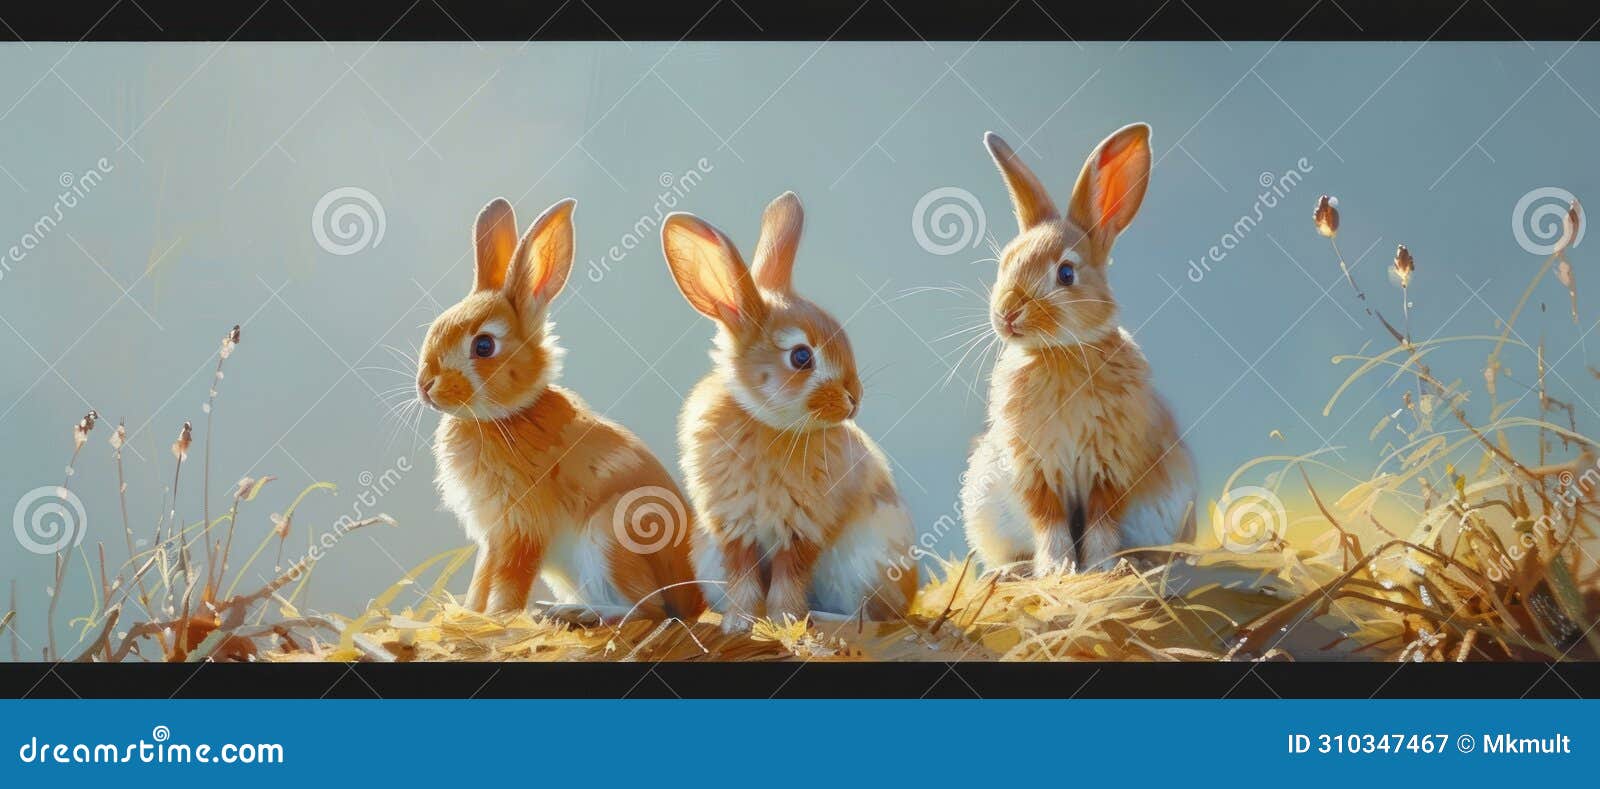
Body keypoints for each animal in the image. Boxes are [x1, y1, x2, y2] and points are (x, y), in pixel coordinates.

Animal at [419, 196, 706, 621]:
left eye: (484, 346)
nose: (425, 386)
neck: (506, 417)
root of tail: (695, 602)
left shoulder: (522, 529)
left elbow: (509, 581)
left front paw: (501, 619)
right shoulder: (493, 535)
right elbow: (483, 576)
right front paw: (473, 615)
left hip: (611, 535)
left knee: (649, 610)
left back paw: (574, 613)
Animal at [660, 192, 917, 633]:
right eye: (800, 357)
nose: (854, 398)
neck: (766, 422)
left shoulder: (803, 529)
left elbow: (790, 574)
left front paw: (782, 621)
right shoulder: (733, 529)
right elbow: (744, 575)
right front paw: (740, 623)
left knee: (871, 616)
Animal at [960, 124, 1197, 577]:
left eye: (1066, 274)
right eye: (1005, 264)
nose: (1007, 313)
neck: (1060, 352)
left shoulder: (1109, 468)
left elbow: (1102, 521)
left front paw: (1101, 568)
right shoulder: (1035, 472)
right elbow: (1049, 523)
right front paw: (1057, 571)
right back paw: (1011, 572)